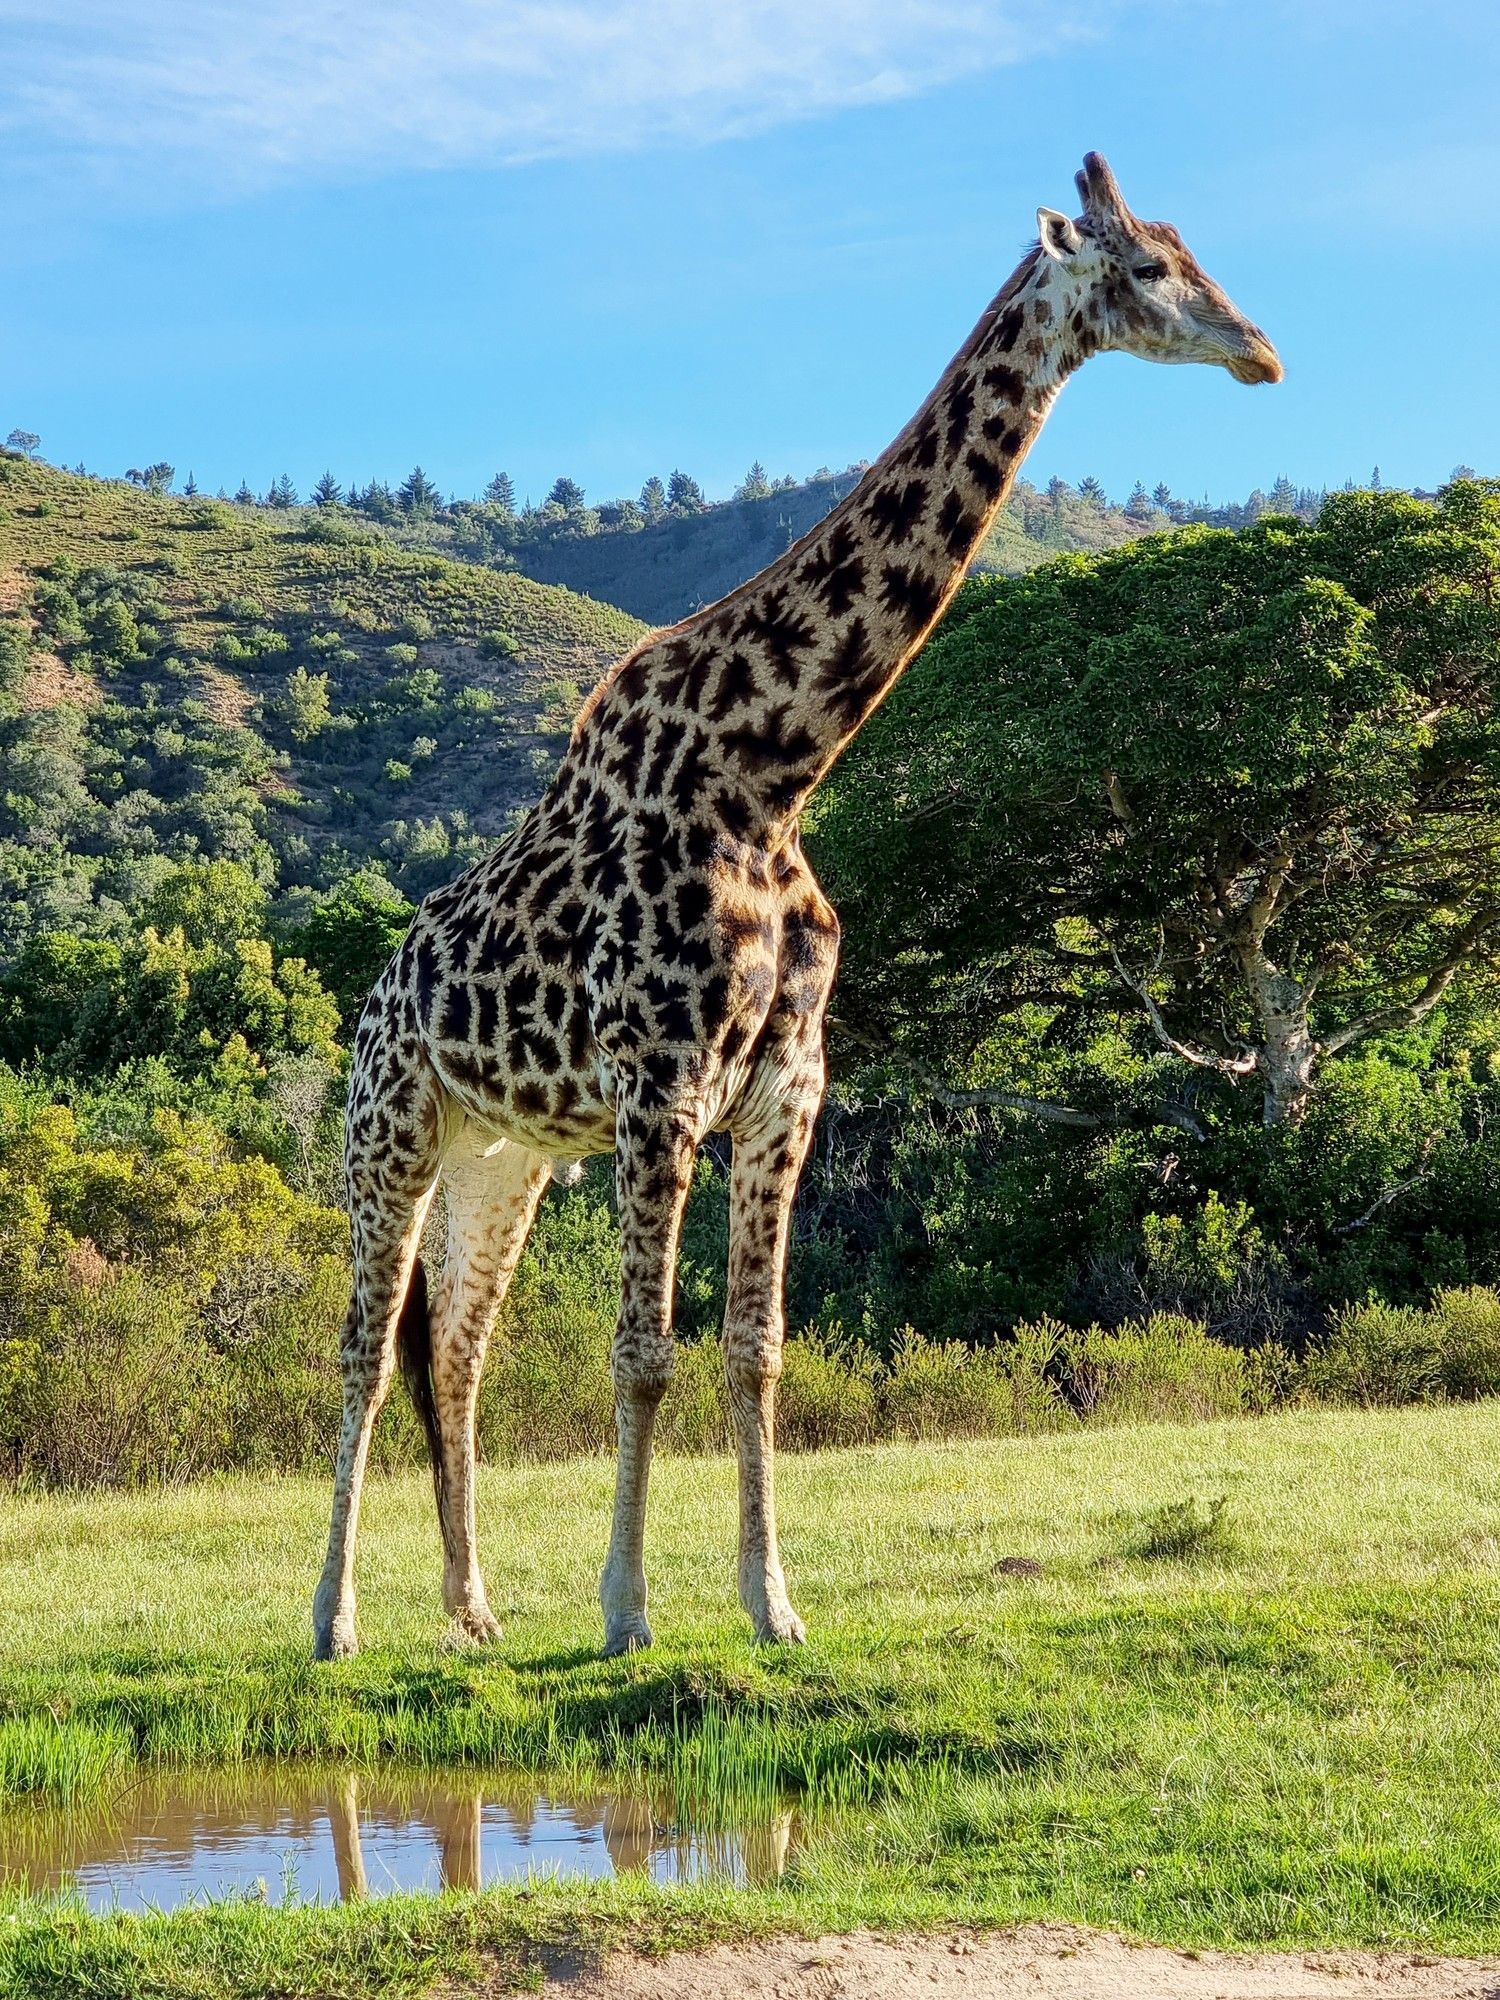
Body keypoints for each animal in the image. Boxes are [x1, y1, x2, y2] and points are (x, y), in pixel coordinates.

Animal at [312, 153, 1281, 1662]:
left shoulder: (788, 1080)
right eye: (1147, 268)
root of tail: (376, 991)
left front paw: (773, 1605)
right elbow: (644, 1351)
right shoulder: (660, 1083)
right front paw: (627, 1612)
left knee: (455, 1356)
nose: (1262, 351)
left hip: (504, 1157)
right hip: (391, 1130)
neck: (773, 769)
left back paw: (472, 1614)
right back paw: (335, 1622)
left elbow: (754, 1351)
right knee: (360, 1356)